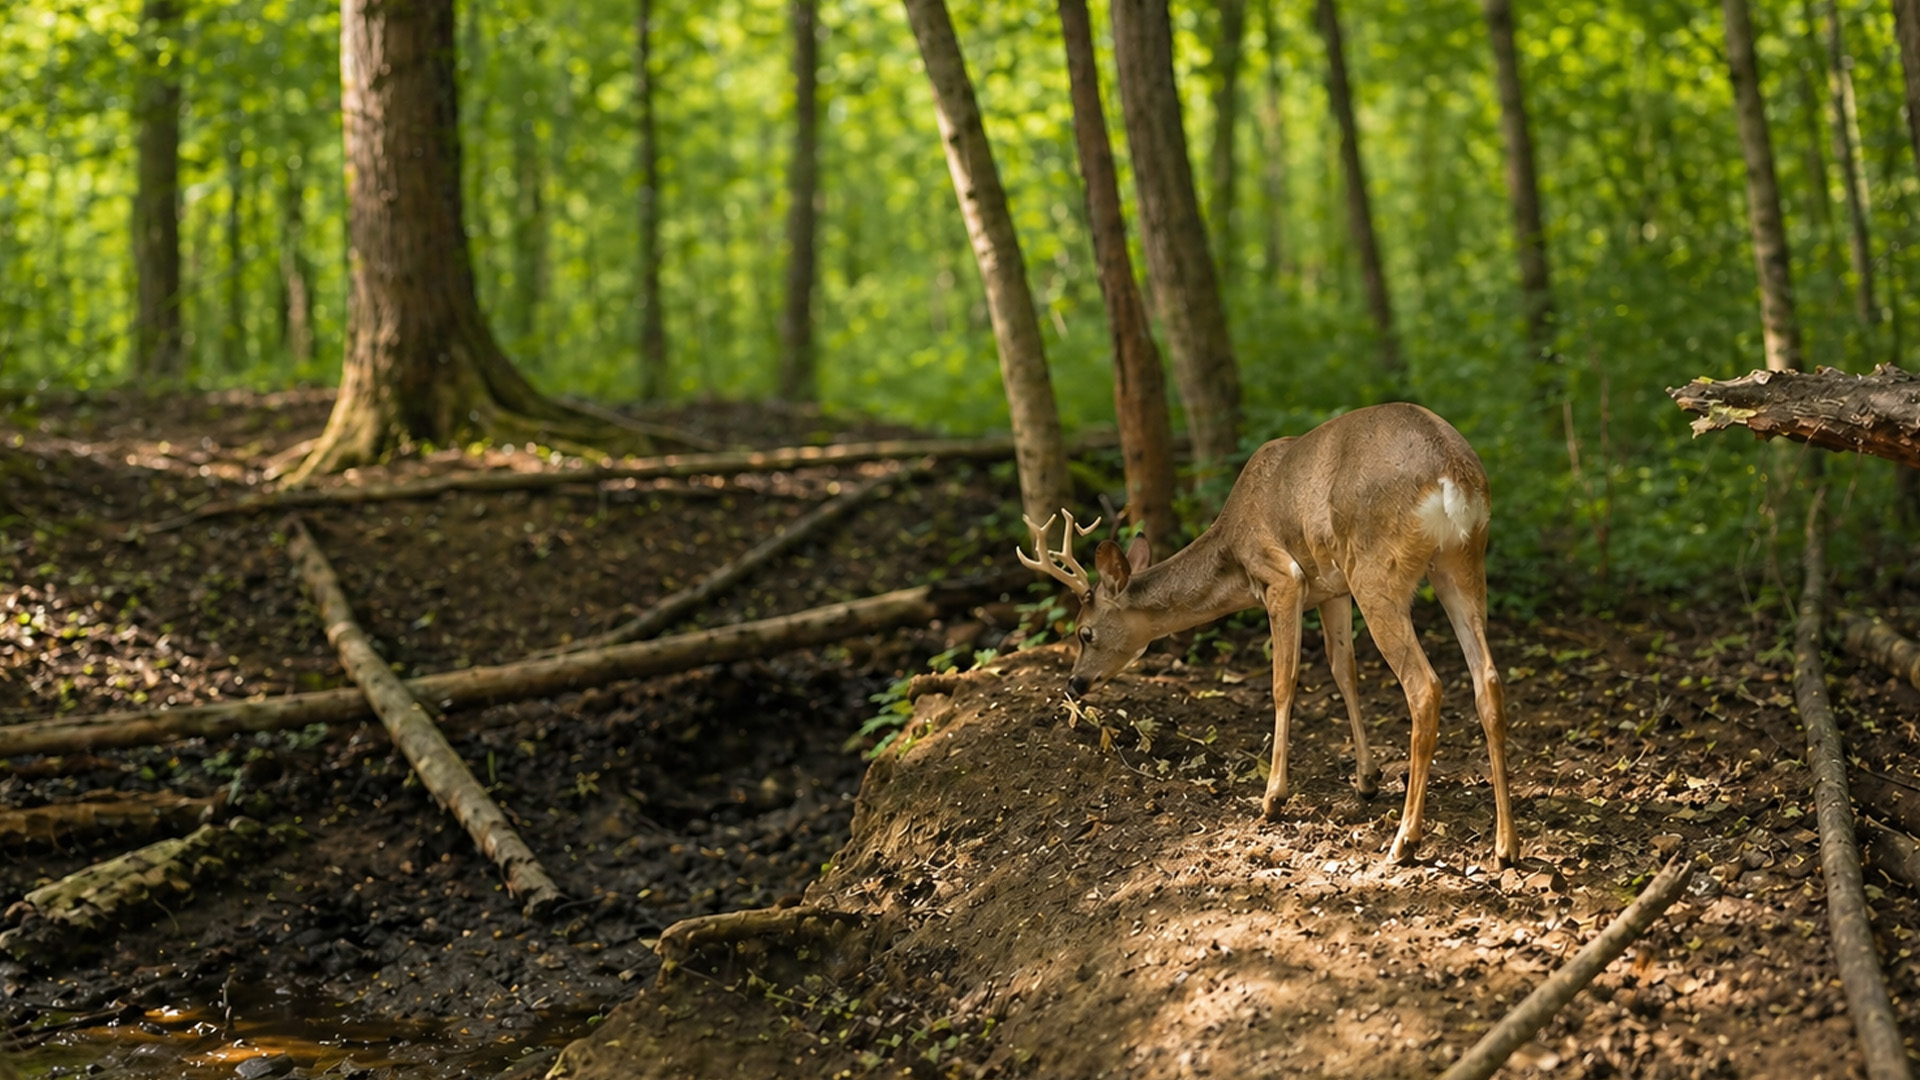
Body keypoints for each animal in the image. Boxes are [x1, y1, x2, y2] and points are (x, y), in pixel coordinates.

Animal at [1017, 402, 1519, 868]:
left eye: (1084, 633)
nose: (1074, 682)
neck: (1232, 555)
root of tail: (1452, 474)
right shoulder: (1331, 588)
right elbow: (1344, 671)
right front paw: (1367, 779)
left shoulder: (1284, 577)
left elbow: (1283, 682)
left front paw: (1273, 798)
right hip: (1461, 561)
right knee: (1489, 680)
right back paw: (1505, 846)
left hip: (1377, 570)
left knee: (1425, 686)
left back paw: (1405, 842)